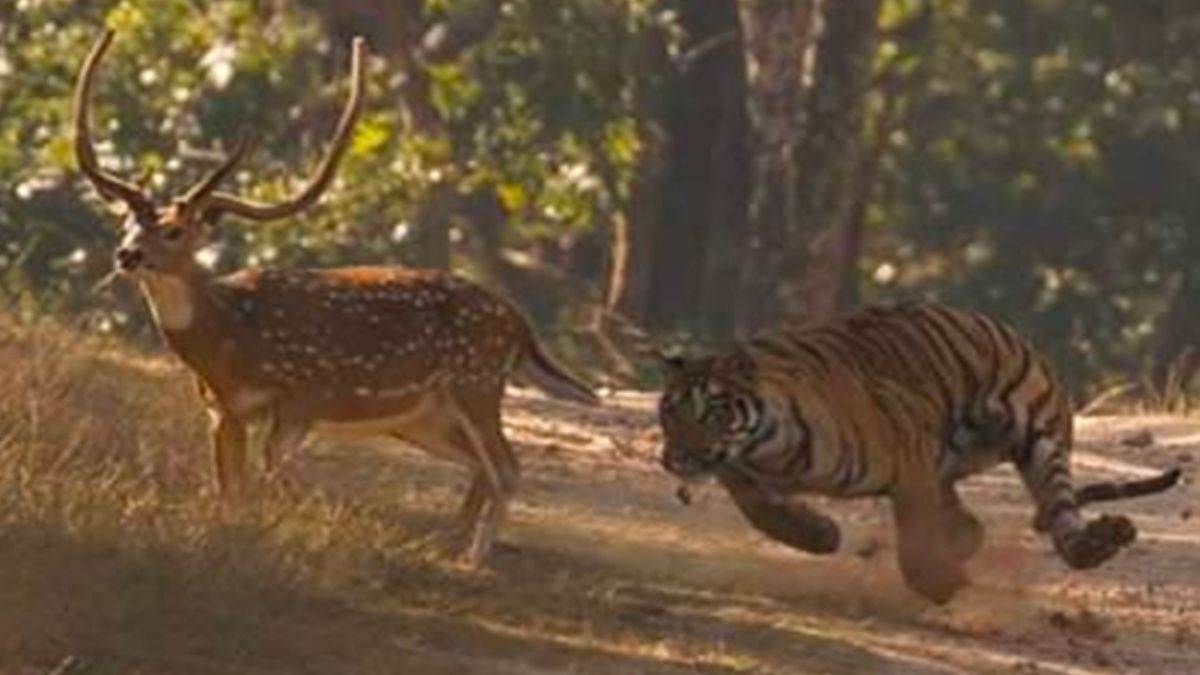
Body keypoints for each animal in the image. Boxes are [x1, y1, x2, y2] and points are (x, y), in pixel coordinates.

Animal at [656, 302, 1182, 603]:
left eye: (708, 413)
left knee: (1059, 512)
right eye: (668, 414)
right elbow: (764, 514)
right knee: (972, 520)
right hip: (949, 462)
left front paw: (938, 584)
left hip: (1039, 435)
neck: (766, 449)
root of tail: (997, 324)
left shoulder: (909, 461)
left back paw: (1098, 541)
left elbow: (915, 532)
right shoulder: (742, 474)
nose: (673, 459)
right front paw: (820, 535)